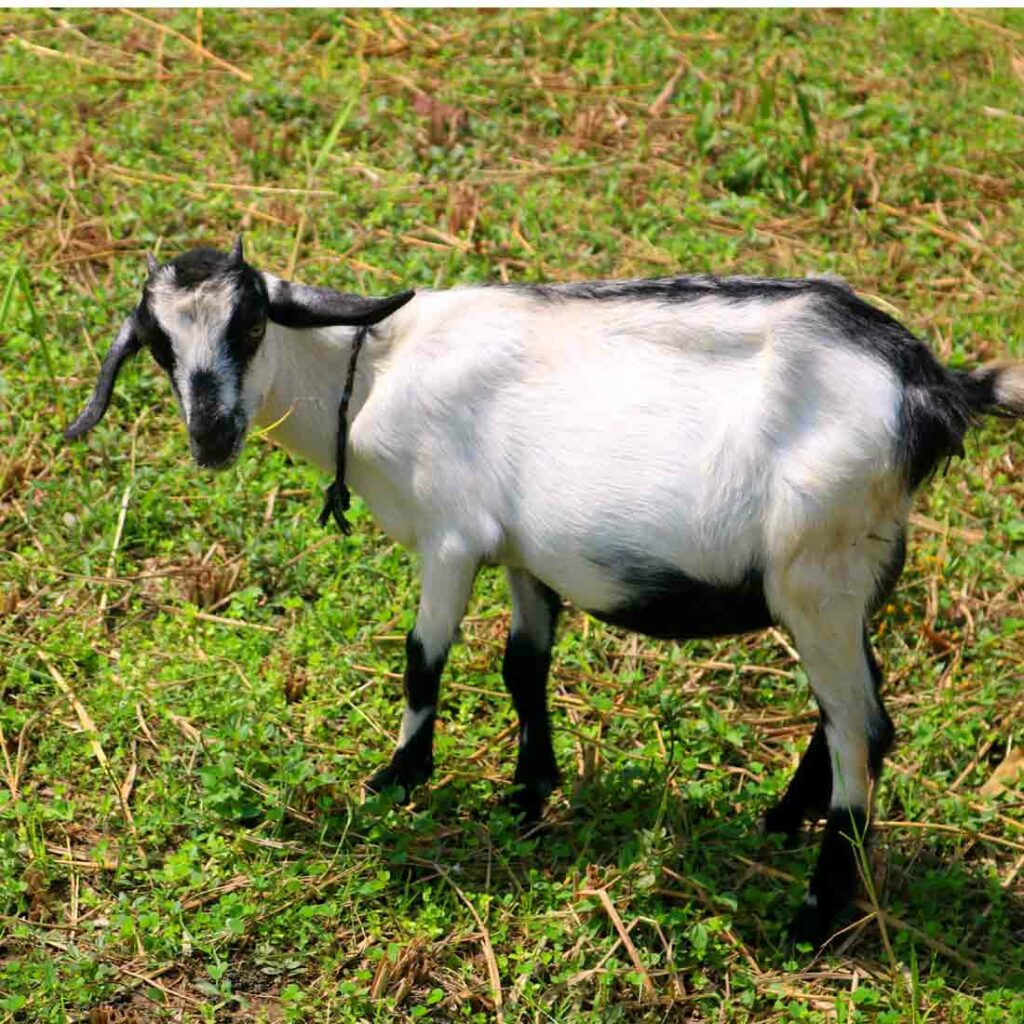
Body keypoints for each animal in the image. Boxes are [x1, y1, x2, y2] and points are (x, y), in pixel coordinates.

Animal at [65, 238, 1024, 947]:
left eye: (252, 322)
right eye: (160, 343)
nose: (212, 434)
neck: (370, 375)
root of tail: (933, 389)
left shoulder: (452, 535)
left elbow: (424, 661)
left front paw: (399, 778)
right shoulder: (523, 552)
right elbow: (523, 665)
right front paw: (529, 795)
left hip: (815, 572)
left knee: (863, 731)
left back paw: (815, 916)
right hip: (852, 571)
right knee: (850, 712)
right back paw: (782, 822)